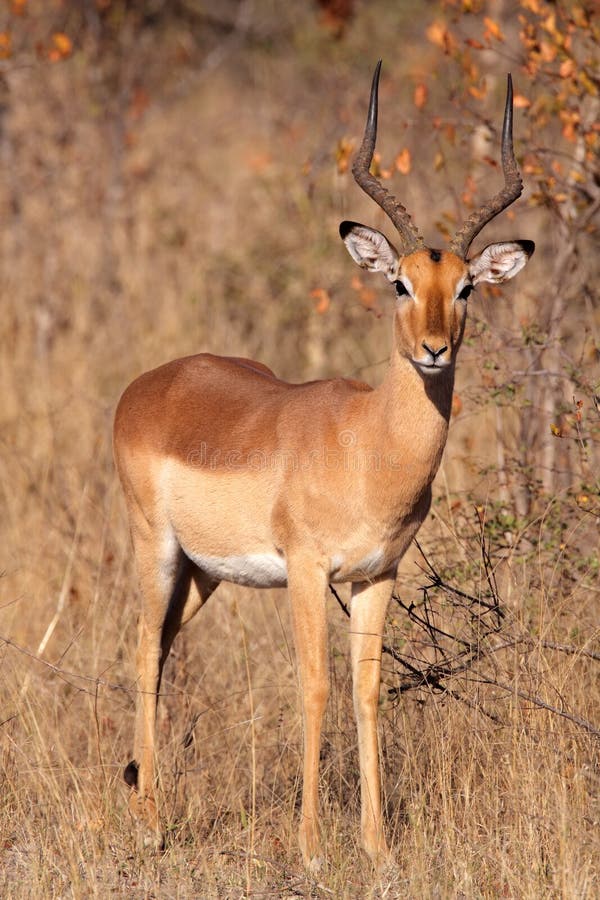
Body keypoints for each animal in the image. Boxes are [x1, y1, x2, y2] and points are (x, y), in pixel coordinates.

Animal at [114, 61, 534, 872]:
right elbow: (313, 687)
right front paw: (311, 847)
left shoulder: (376, 576)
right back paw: (148, 825)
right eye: (400, 282)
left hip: (204, 573)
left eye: (466, 287)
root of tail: (148, 385)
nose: (434, 349)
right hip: (157, 548)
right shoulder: (308, 571)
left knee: (164, 649)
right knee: (145, 652)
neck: (366, 445)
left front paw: (378, 847)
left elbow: (365, 693)